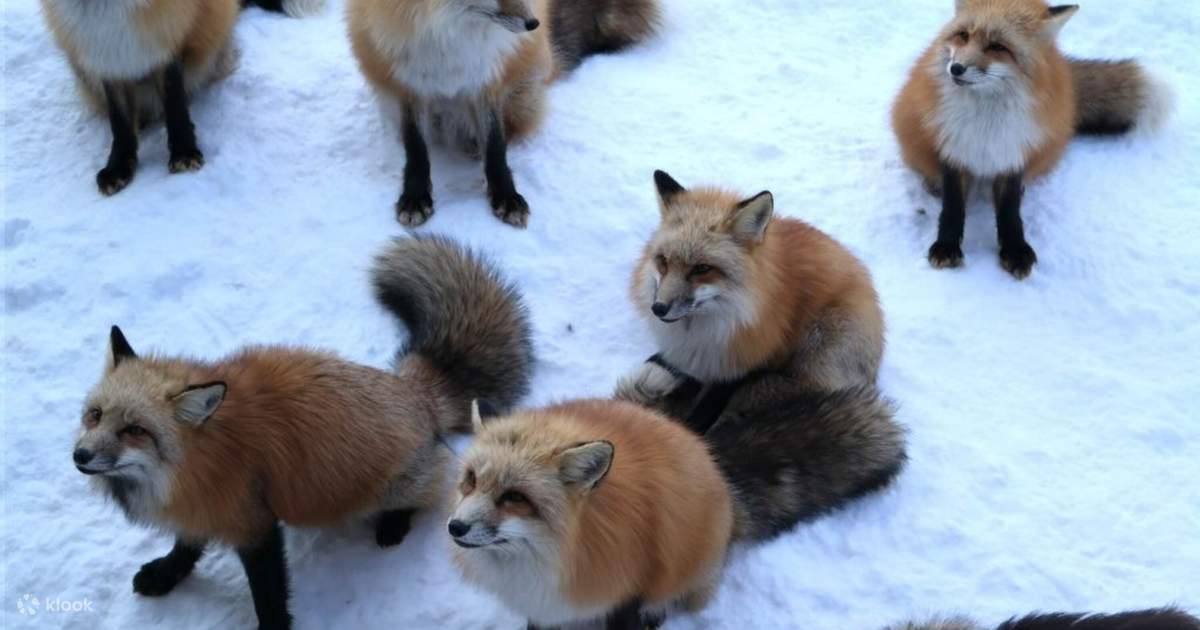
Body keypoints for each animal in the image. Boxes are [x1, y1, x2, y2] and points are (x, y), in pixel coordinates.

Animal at [40, 0, 323, 196]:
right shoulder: (102, 54)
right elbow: (120, 124)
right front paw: (119, 166)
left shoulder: (167, 38)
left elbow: (176, 106)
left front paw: (184, 152)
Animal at [71, 236, 533, 629]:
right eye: (94, 416)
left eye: (135, 430)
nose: (80, 456)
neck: (190, 465)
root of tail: (414, 388)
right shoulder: (203, 506)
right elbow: (186, 546)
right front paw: (167, 574)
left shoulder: (253, 522)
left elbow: (268, 594)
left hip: (391, 488)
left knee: (432, 487)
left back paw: (394, 524)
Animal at [347, 0, 660, 228]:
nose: (533, 24)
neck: (447, 32)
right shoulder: (407, 82)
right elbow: (416, 149)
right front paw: (414, 196)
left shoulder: (486, 77)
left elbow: (496, 146)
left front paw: (506, 196)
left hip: (520, 94)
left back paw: (474, 147)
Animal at [892, 0, 1173, 279]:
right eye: (963, 35)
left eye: (997, 47)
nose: (956, 68)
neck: (986, 123)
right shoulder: (954, 147)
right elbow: (953, 206)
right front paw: (946, 246)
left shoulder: (1015, 149)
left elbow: (1010, 210)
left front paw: (1015, 250)